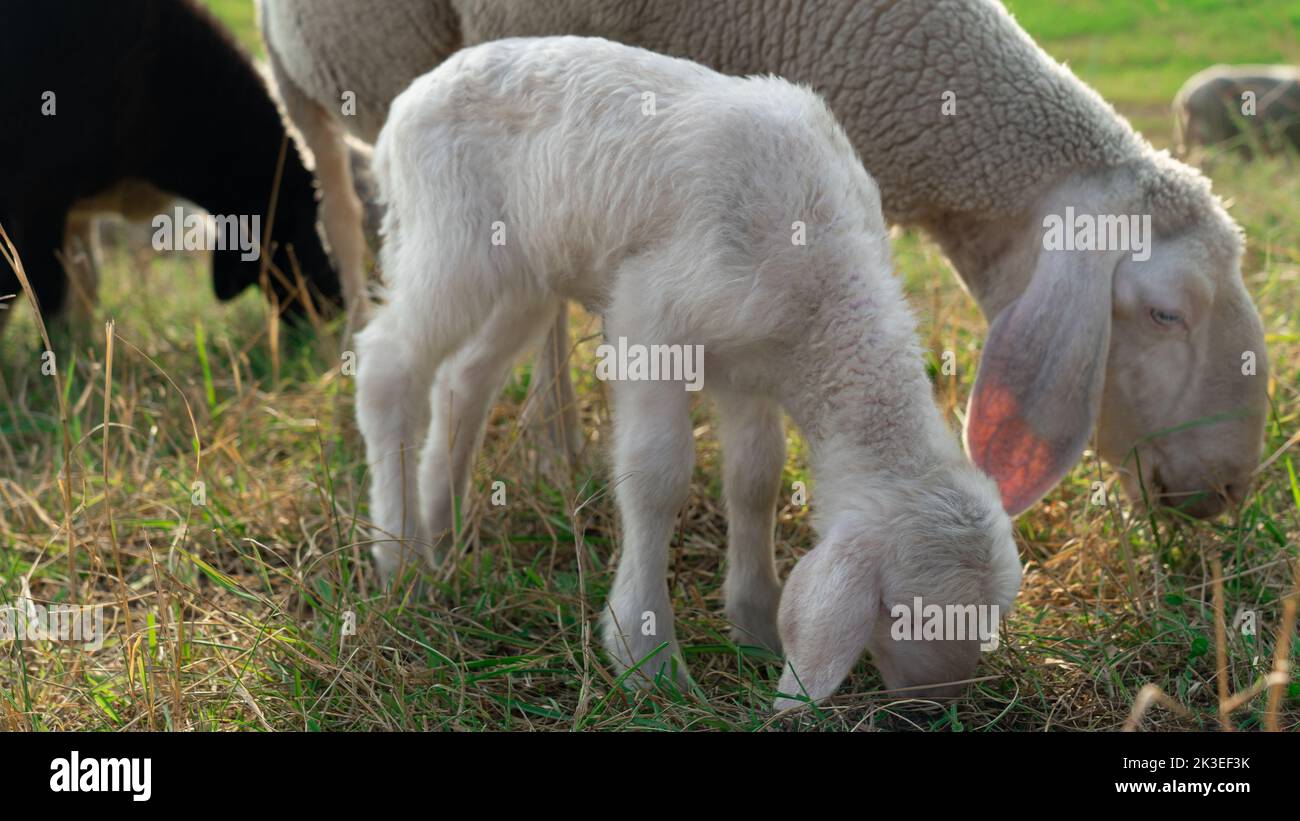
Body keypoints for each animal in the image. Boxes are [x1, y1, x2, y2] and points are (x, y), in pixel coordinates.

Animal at [0, 0, 340, 343]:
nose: (336, 301)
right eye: (309, 216)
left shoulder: (71, 210)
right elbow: (46, 292)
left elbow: (83, 283)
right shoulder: (38, 197)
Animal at [356, 36, 1023, 705]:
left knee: (463, 378)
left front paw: (757, 625)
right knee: (388, 367)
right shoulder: (650, 313)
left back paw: (441, 529)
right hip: (449, 242)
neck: (825, 295)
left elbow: (756, 476)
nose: (938, 704)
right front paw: (647, 658)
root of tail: (403, 110)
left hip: (526, 275)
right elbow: (656, 475)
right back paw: (400, 557)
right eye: (907, 616)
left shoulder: (750, 361)